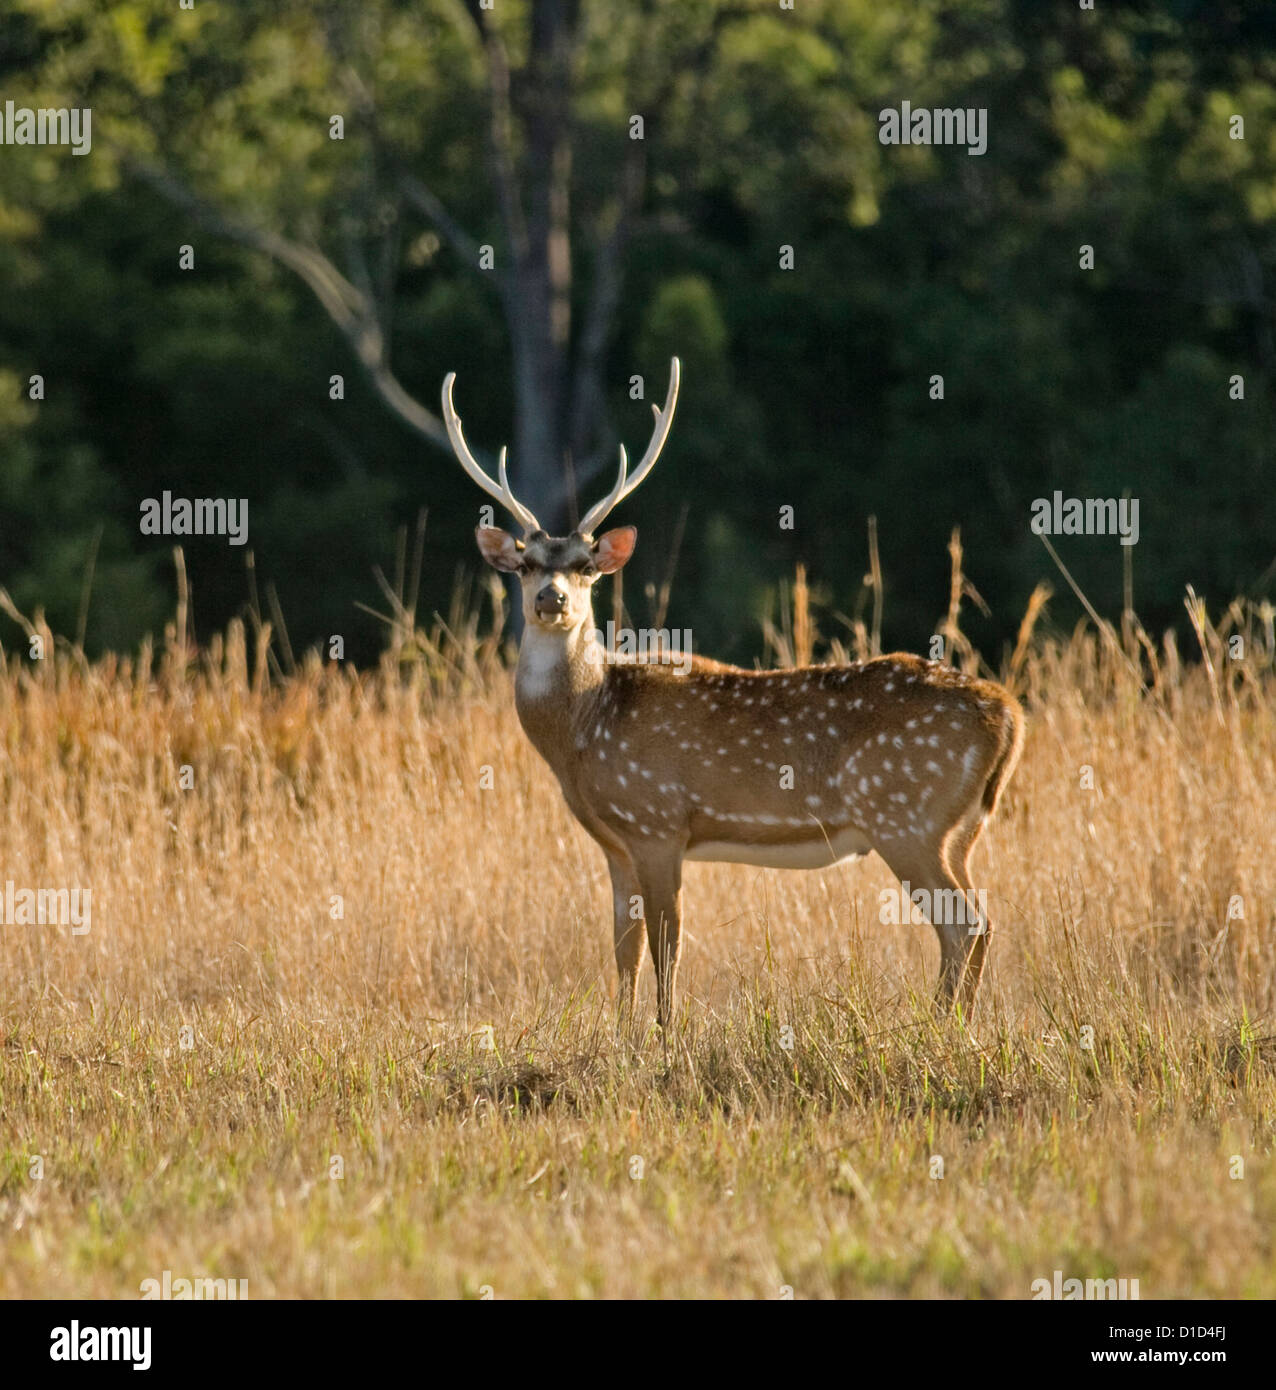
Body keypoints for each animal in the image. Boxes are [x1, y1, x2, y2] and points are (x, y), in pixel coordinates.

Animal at [441, 357, 1024, 1029]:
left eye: (587, 566)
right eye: (526, 563)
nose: (551, 599)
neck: (583, 731)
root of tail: (1009, 714)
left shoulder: (657, 821)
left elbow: (666, 946)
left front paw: (665, 1038)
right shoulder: (616, 843)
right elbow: (623, 952)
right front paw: (622, 1038)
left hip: (906, 814)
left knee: (964, 924)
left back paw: (938, 1028)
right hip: (959, 827)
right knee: (980, 922)